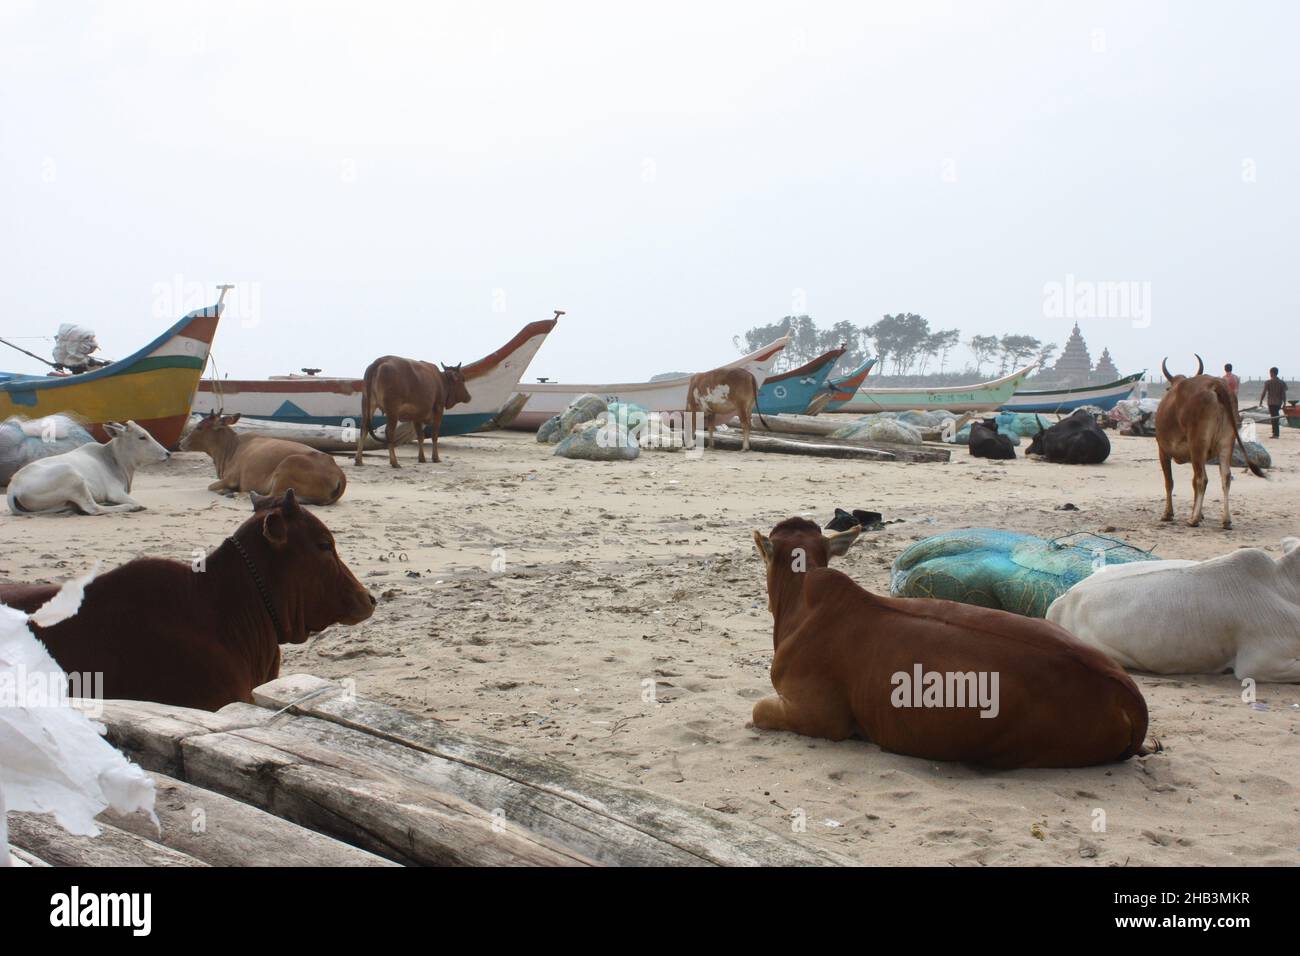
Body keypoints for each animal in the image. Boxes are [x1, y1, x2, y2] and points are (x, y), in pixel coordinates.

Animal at [7, 421, 167, 515]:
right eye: (142, 437)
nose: (167, 453)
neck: (112, 458)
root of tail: (13, 488)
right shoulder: (115, 492)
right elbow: (136, 502)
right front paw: (133, 506)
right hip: (72, 475)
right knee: (93, 508)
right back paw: (127, 507)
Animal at [181, 411, 347, 505]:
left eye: (199, 427)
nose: (182, 443)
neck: (230, 449)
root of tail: (339, 475)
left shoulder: (231, 479)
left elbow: (211, 487)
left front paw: (227, 491)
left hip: (287, 467)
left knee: (272, 497)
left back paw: (237, 494)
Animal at [1155, 355, 1264, 529]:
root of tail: (1215, 384)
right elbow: (1192, 482)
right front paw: (1199, 514)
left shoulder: (1163, 450)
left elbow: (1169, 482)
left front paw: (1168, 514)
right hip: (1226, 443)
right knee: (1225, 477)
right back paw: (1226, 520)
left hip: (1197, 443)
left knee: (1202, 479)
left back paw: (1193, 520)